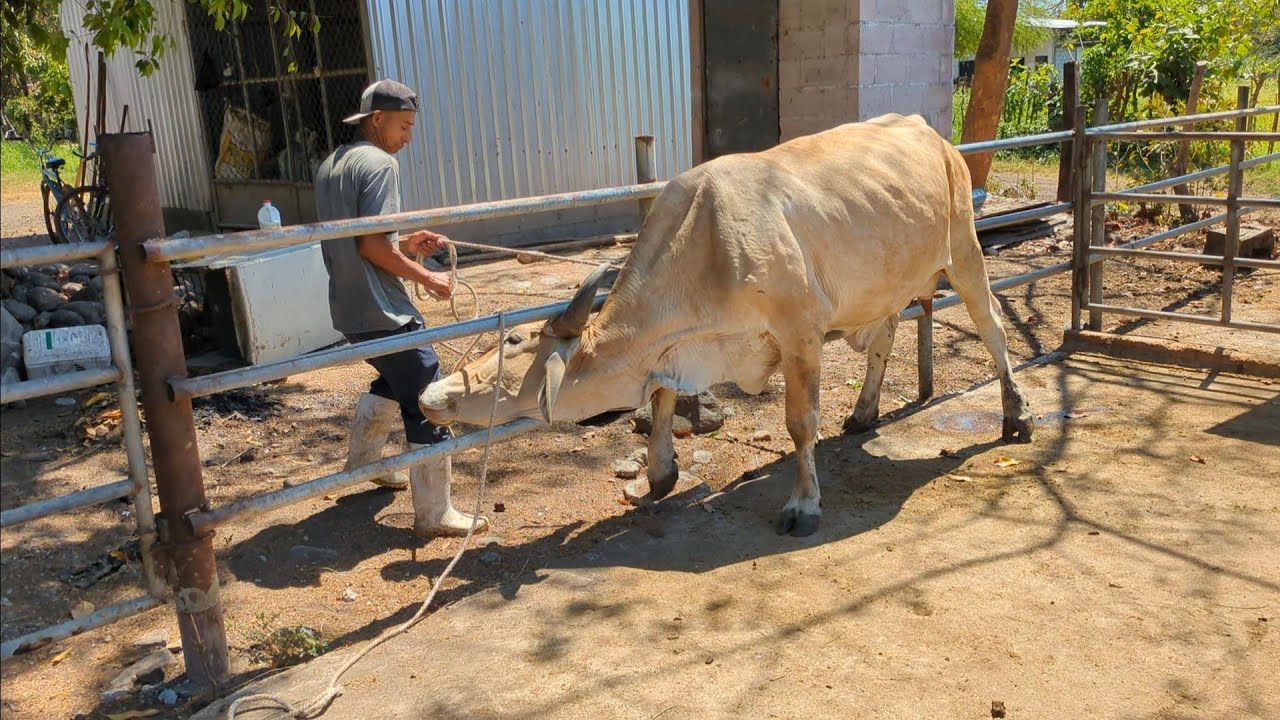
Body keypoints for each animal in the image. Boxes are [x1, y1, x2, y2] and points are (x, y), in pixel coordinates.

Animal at [419, 113, 1033, 537]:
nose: (431, 395)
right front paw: (660, 474)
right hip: (887, 281)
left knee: (994, 328)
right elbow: (663, 397)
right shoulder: (682, 351)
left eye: (515, 339)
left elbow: (799, 424)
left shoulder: (800, 333)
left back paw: (1016, 414)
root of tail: (931, 133)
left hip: (964, 251)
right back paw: (863, 413)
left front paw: (803, 505)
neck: (705, 251)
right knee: (884, 336)